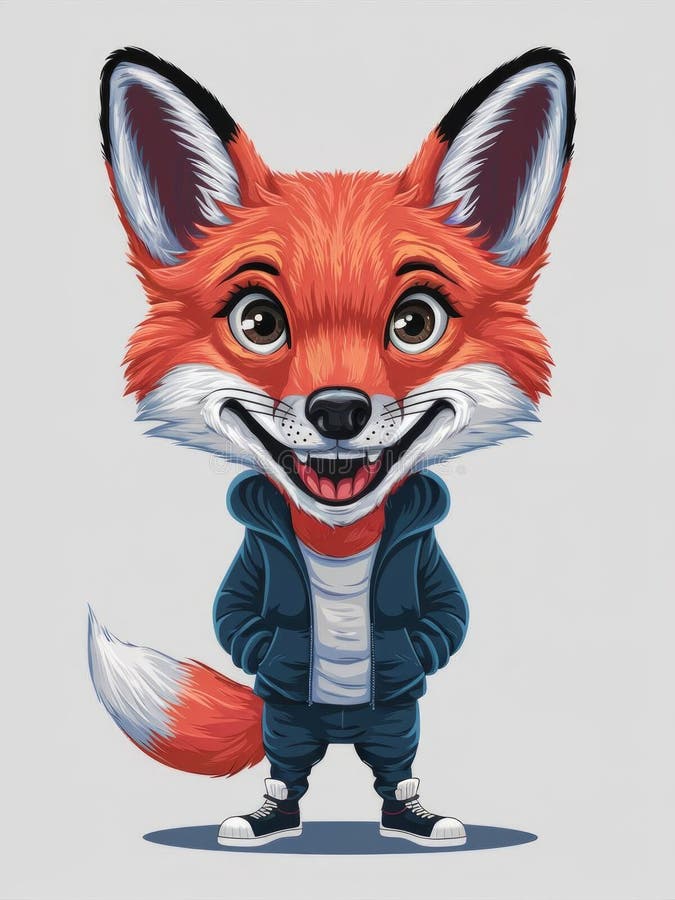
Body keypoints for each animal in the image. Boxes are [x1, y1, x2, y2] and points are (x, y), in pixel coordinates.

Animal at [88, 46, 575, 848]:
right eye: (259, 321)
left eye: (415, 321)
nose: (339, 409)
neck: (339, 546)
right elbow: (241, 615)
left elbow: (441, 616)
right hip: (287, 718)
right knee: (286, 754)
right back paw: (270, 816)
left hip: (393, 720)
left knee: (392, 752)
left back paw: (409, 815)